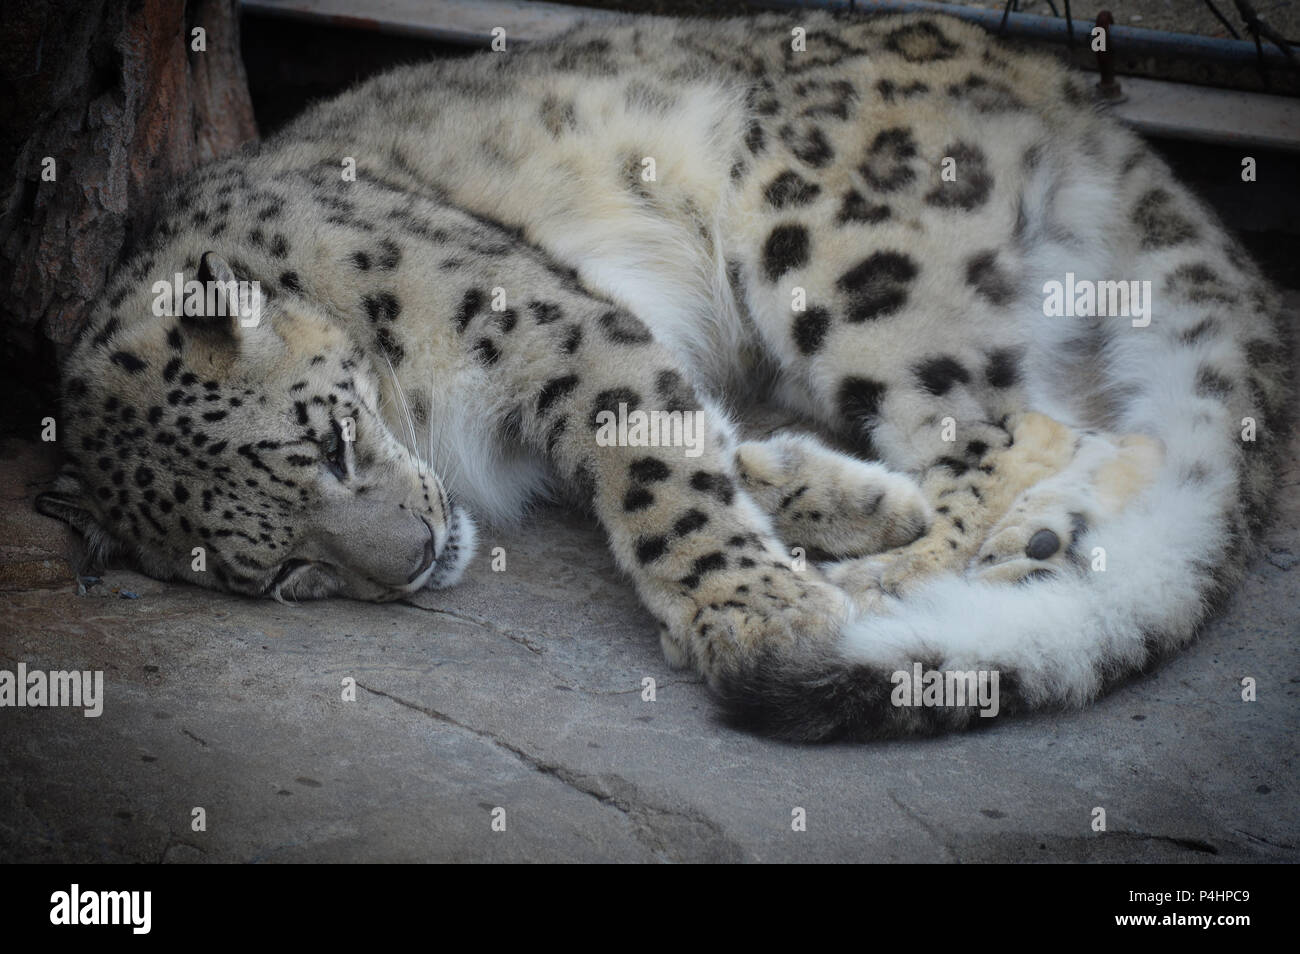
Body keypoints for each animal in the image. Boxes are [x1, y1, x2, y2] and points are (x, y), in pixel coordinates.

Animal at [35, 11, 1292, 741]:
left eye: (329, 442)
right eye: (282, 576)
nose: (411, 559)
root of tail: (1049, 75)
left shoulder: (547, 324)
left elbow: (654, 473)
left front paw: (762, 616)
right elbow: (711, 445)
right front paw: (840, 499)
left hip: (843, 253)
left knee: (1005, 425)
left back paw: (883, 589)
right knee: (1097, 434)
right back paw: (1020, 543)